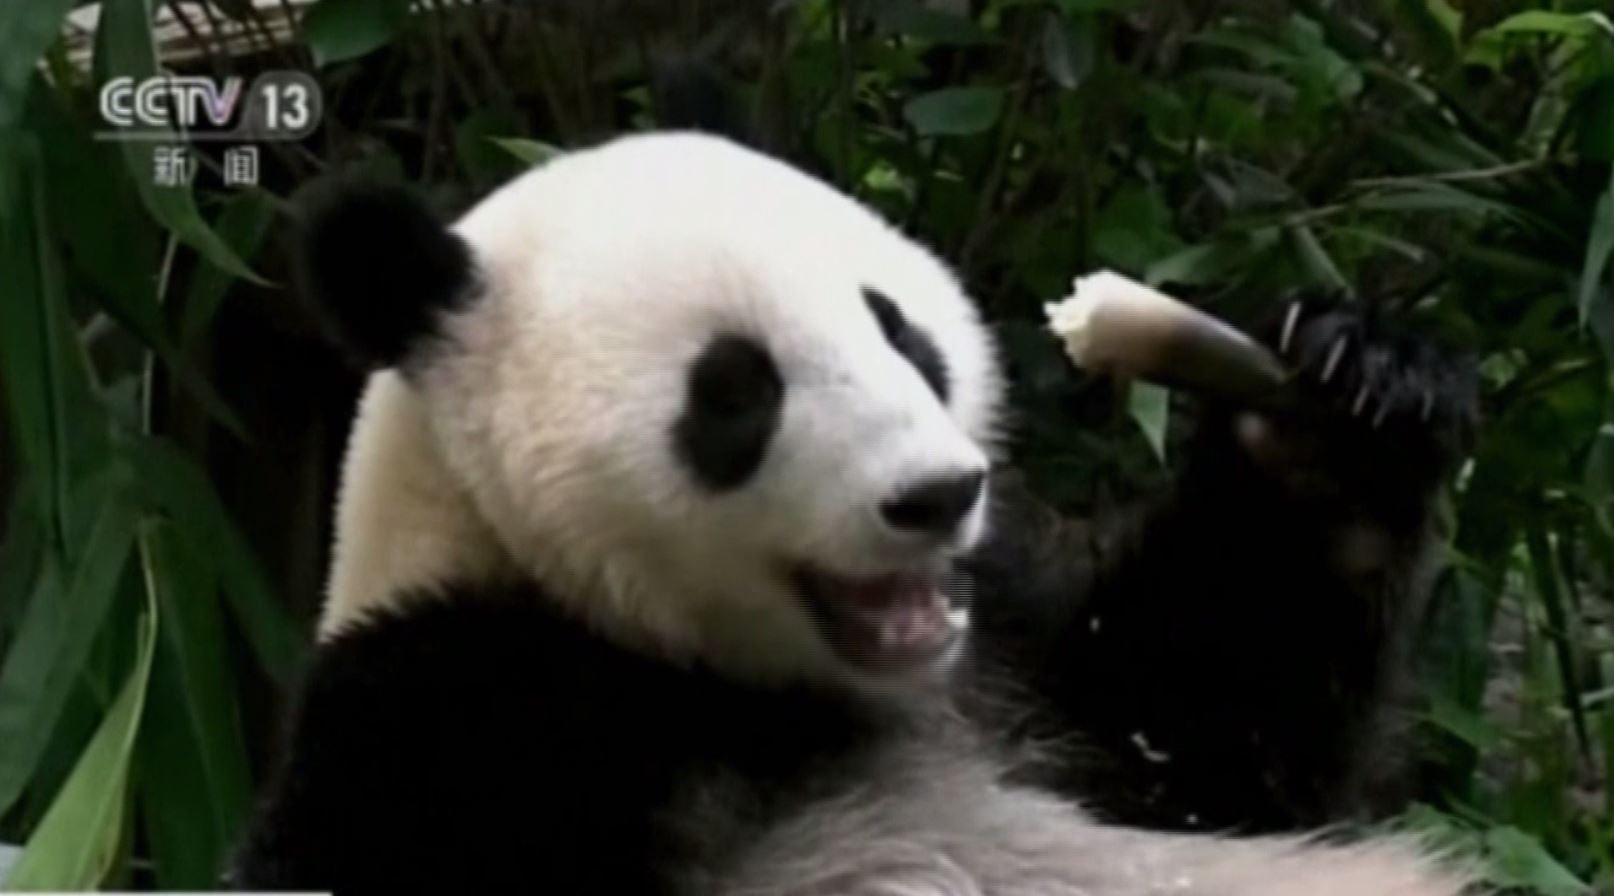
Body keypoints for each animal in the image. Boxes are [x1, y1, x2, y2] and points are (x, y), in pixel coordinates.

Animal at [232, 132, 1476, 894]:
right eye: (734, 392)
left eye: (897, 329)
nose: (940, 494)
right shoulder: (450, 724)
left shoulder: (1003, 653)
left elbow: (1208, 735)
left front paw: (1347, 401)